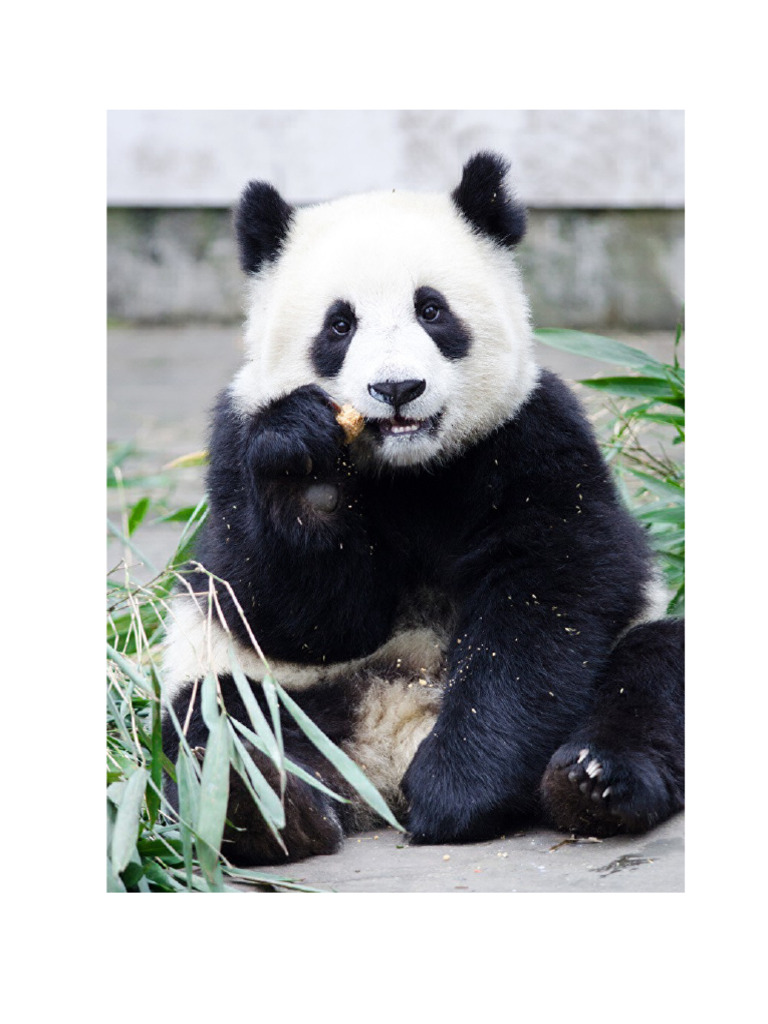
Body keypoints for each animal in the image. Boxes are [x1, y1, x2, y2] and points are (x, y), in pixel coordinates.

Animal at [161, 151, 684, 866]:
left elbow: (552, 593)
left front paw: (457, 791)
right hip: (268, 689)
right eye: (340, 324)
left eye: (432, 310)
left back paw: (594, 781)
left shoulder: (534, 435)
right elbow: (290, 612)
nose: (397, 388)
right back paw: (262, 806)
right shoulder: (236, 445)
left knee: (655, 671)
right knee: (216, 721)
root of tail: (385, 751)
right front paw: (309, 467)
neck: (408, 469)